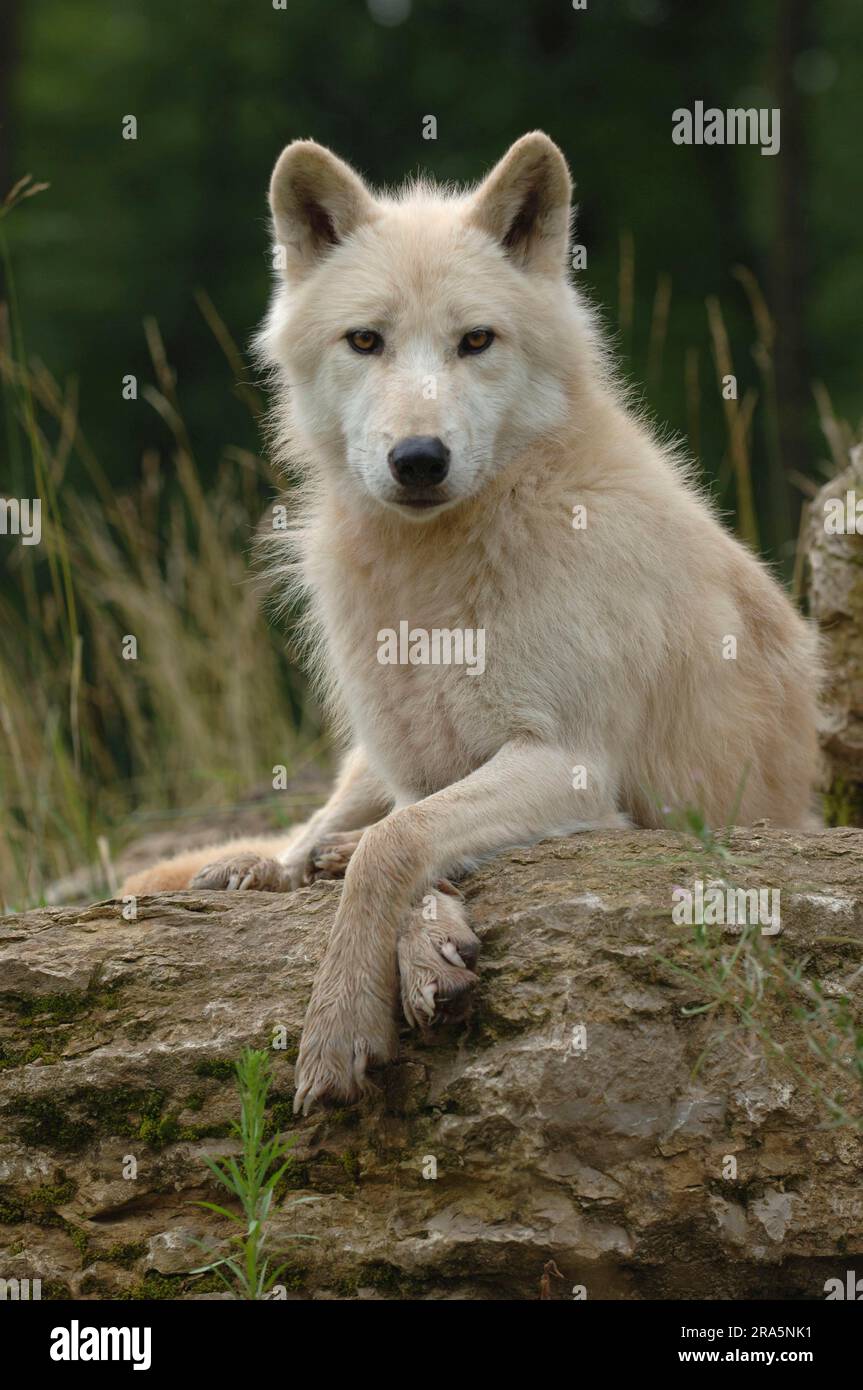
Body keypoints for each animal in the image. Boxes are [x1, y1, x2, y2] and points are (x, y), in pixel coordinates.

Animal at [124, 133, 821, 1113]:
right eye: (365, 340)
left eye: (475, 341)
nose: (418, 459)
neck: (442, 569)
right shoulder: (424, 763)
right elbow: (400, 836)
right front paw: (408, 960)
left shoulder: (572, 769)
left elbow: (395, 847)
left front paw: (341, 1025)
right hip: (366, 751)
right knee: (316, 830)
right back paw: (261, 866)